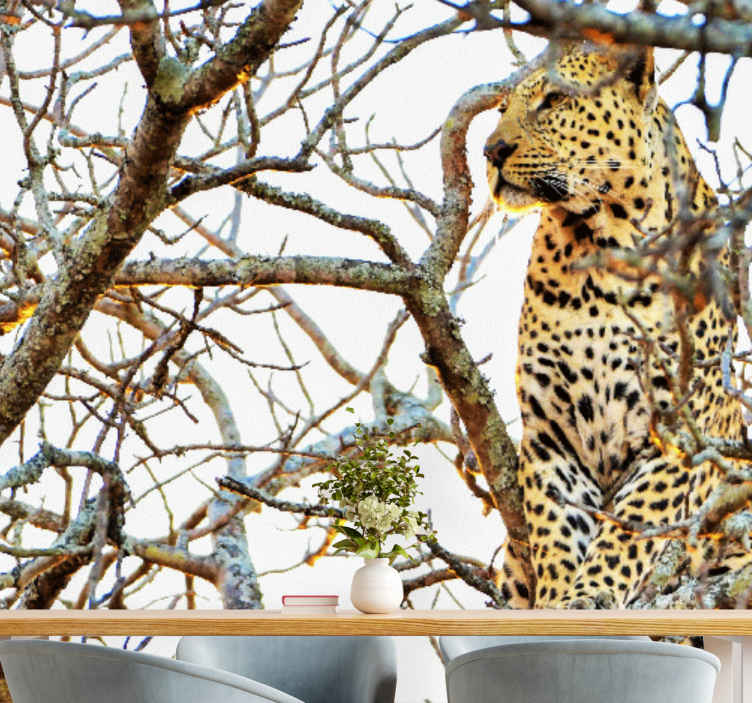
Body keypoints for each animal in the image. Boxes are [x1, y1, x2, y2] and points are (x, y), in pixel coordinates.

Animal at [484, 42, 747, 610]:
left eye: (554, 100)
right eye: (502, 109)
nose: (491, 151)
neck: (597, 244)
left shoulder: (675, 433)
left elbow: (628, 527)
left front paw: (592, 594)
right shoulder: (552, 436)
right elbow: (557, 530)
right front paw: (557, 602)